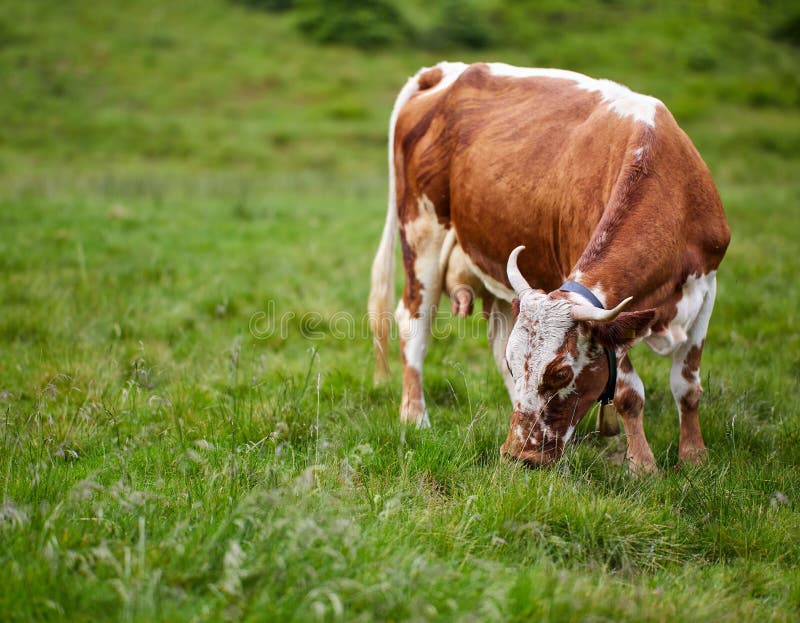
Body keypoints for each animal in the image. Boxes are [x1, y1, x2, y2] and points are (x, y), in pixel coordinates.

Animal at [367, 62, 730, 472]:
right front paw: (643, 465)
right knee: (414, 322)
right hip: (420, 234)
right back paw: (415, 417)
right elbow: (628, 394)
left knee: (495, 336)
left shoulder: (707, 286)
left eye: (560, 373)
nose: (518, 456)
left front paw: (695, 456)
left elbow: (687, 385)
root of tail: (445, 71)